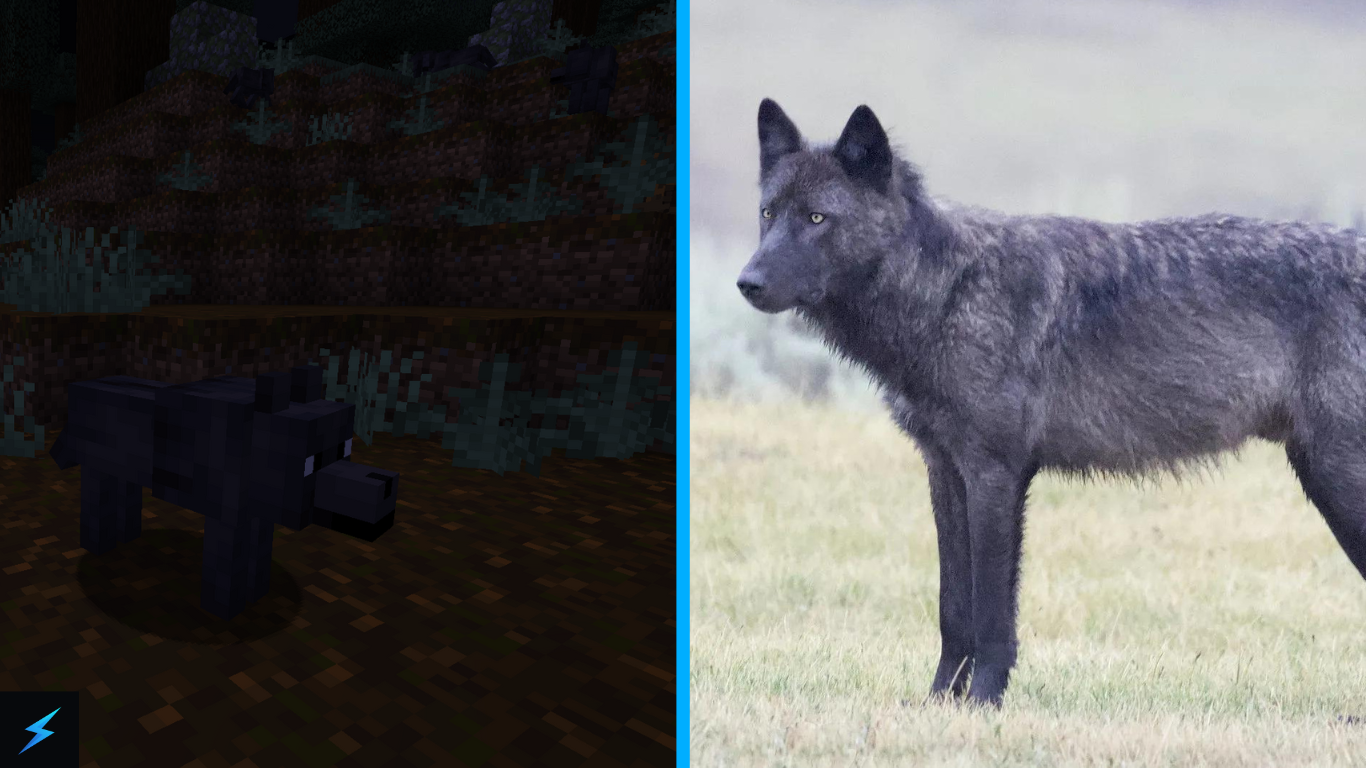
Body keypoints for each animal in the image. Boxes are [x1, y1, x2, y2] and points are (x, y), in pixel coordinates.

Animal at [737, 98, 1366, 707]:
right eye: (768, 214)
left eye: (817, 218)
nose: (748, 282)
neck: (949, 292)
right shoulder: (945, 471)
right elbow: (953, 610)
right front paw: (938, 704)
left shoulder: (996, 475)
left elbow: (992, 615)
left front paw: (983, 706)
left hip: (1334, 481)